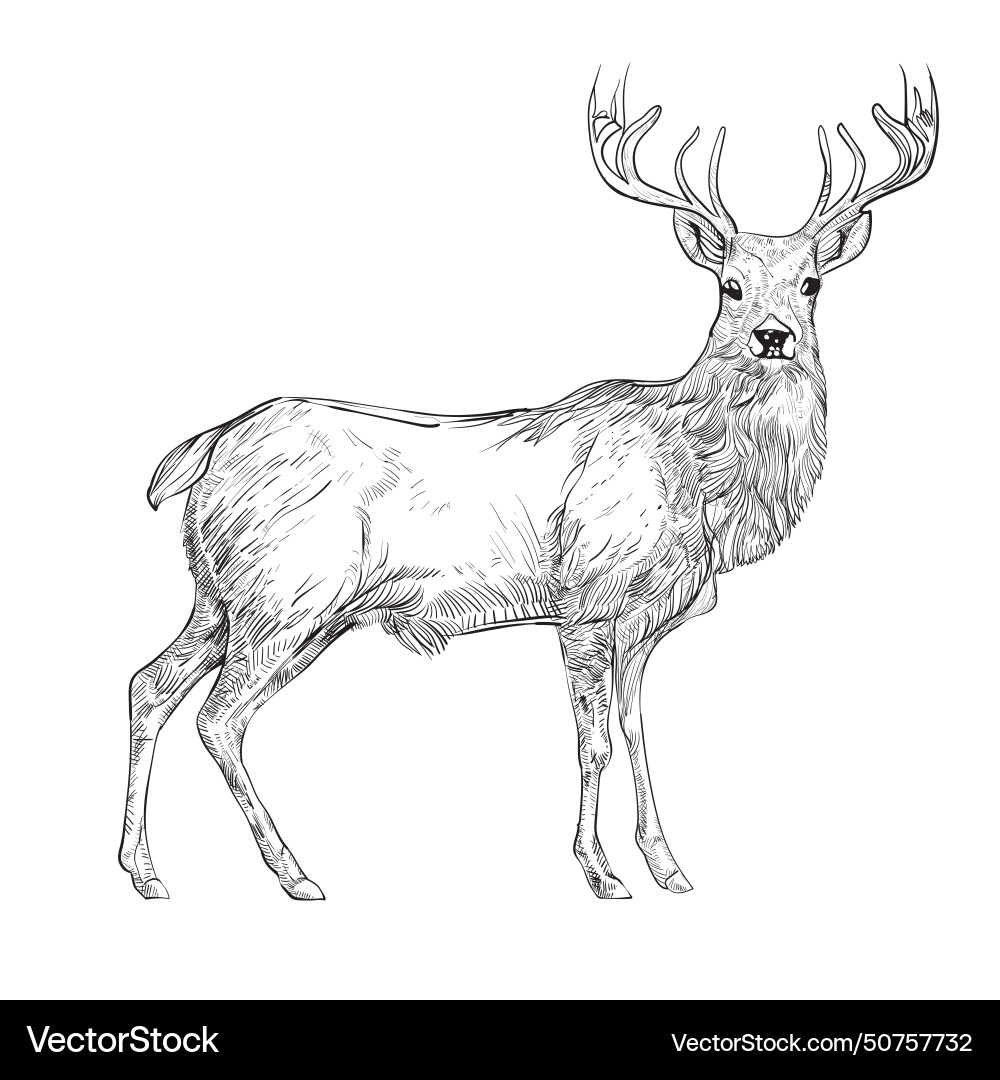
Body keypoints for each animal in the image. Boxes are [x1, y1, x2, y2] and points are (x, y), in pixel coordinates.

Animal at [120, 69, 937, 901]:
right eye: (731, 287)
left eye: (811, 284)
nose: (774, 336)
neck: (699, 481)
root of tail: (207, 448)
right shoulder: (586, 597)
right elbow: (594, 742)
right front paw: (601, 872)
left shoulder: (648, 619)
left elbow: (638, 733)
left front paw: (668, 866)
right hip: (287, 591)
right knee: (218, 716)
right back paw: (293, 872)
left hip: (231, 597)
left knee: (151, 683)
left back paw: (146, 871)